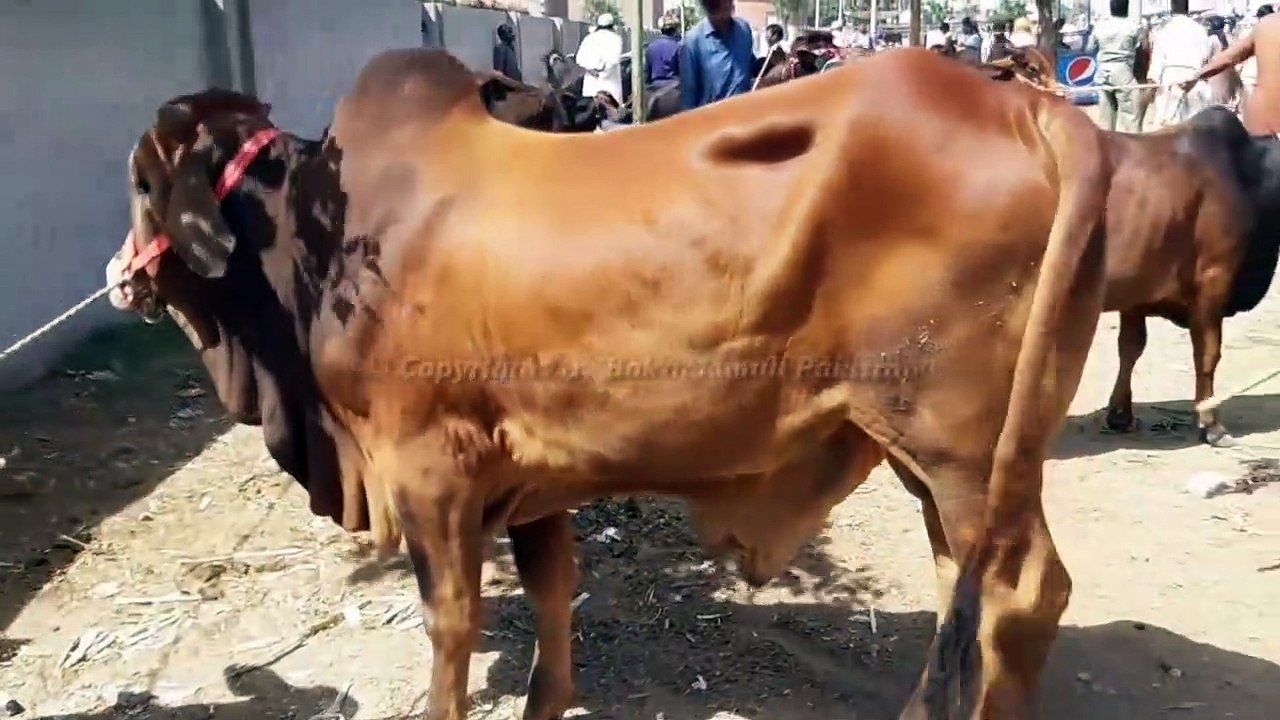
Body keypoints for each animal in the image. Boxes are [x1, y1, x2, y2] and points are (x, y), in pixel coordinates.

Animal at [104, 47, 1111, 720]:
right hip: (940, 456)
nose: (122, 278)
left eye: (142, 183)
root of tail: (1027, 109)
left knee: (1023, 595)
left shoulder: (429, 467)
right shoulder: (530, 470)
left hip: (958, 446)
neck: (328, 230)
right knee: (962, 588)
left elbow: (450, 620)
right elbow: (553, 588)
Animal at [1099, 106, 1280, 445]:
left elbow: (1129, 348)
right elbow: (1208, 352)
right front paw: (1211, 423)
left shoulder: (1135, 296)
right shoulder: (1214, 278)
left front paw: (1120, 415)